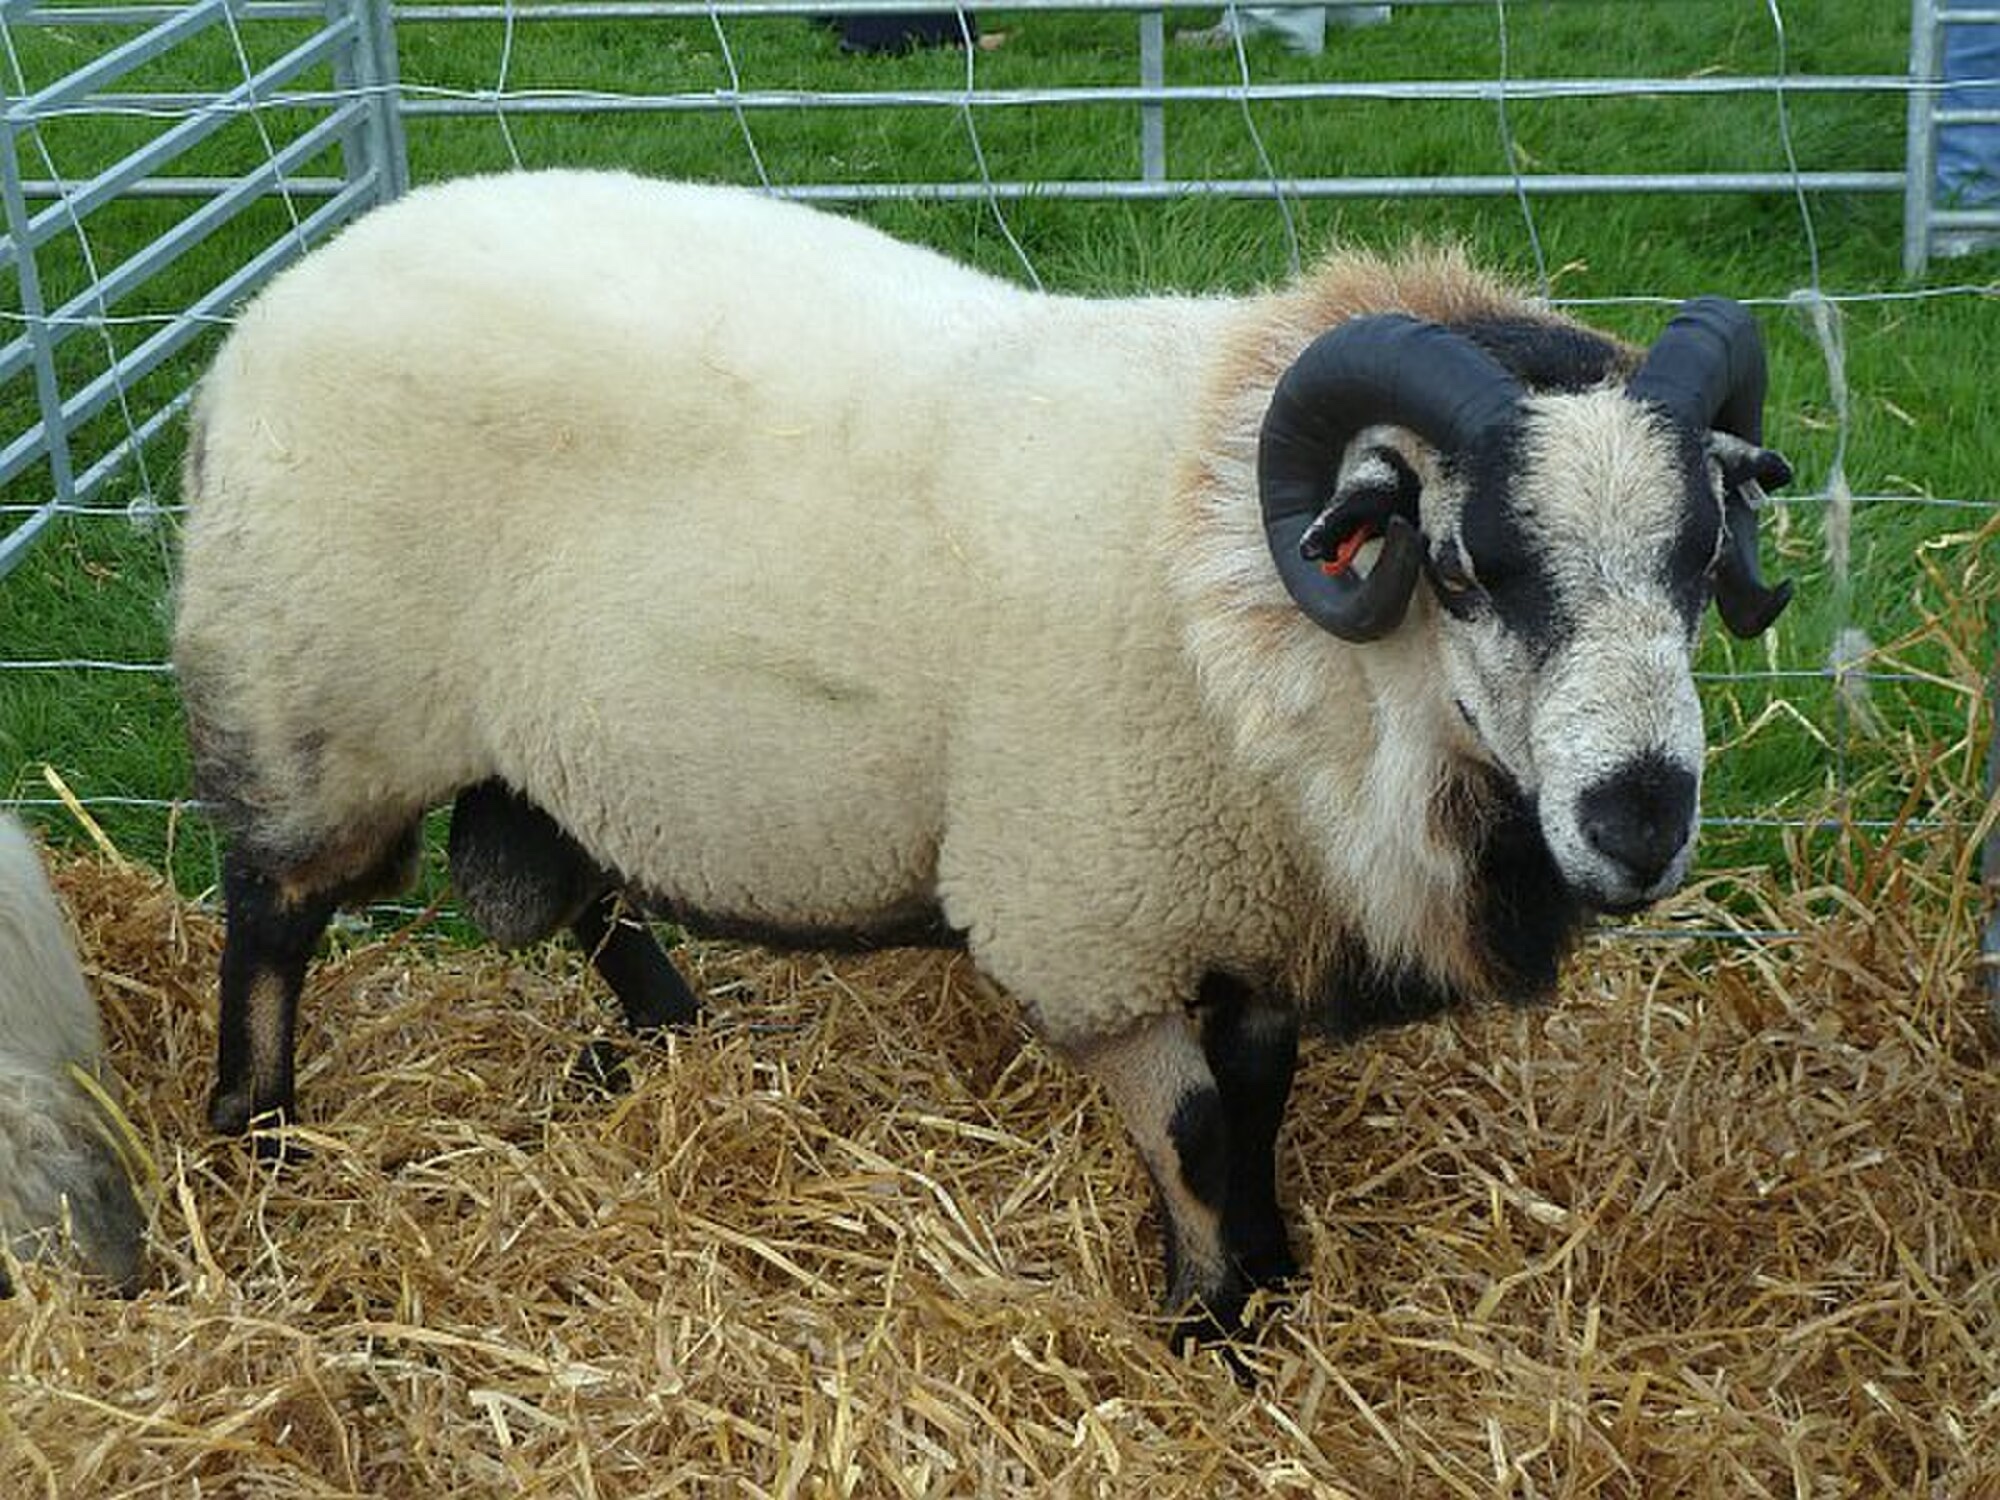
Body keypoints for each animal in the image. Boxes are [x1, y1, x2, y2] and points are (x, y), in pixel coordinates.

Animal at [171, 169, 1793, 1333]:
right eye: (1459, 568)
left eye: (1700, 561)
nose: (1642, 818)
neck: (1253, 608)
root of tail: (288, 291)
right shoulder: (1090, 934)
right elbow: (1194, 1136)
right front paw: (1209, 1323)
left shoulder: (1247, 908)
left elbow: (1259, 1102)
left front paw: (1273, 1270)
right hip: (315, 701)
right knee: (272, 920)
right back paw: (256, 1136)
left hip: (523, 738)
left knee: (585, 889)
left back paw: (681, 1033)